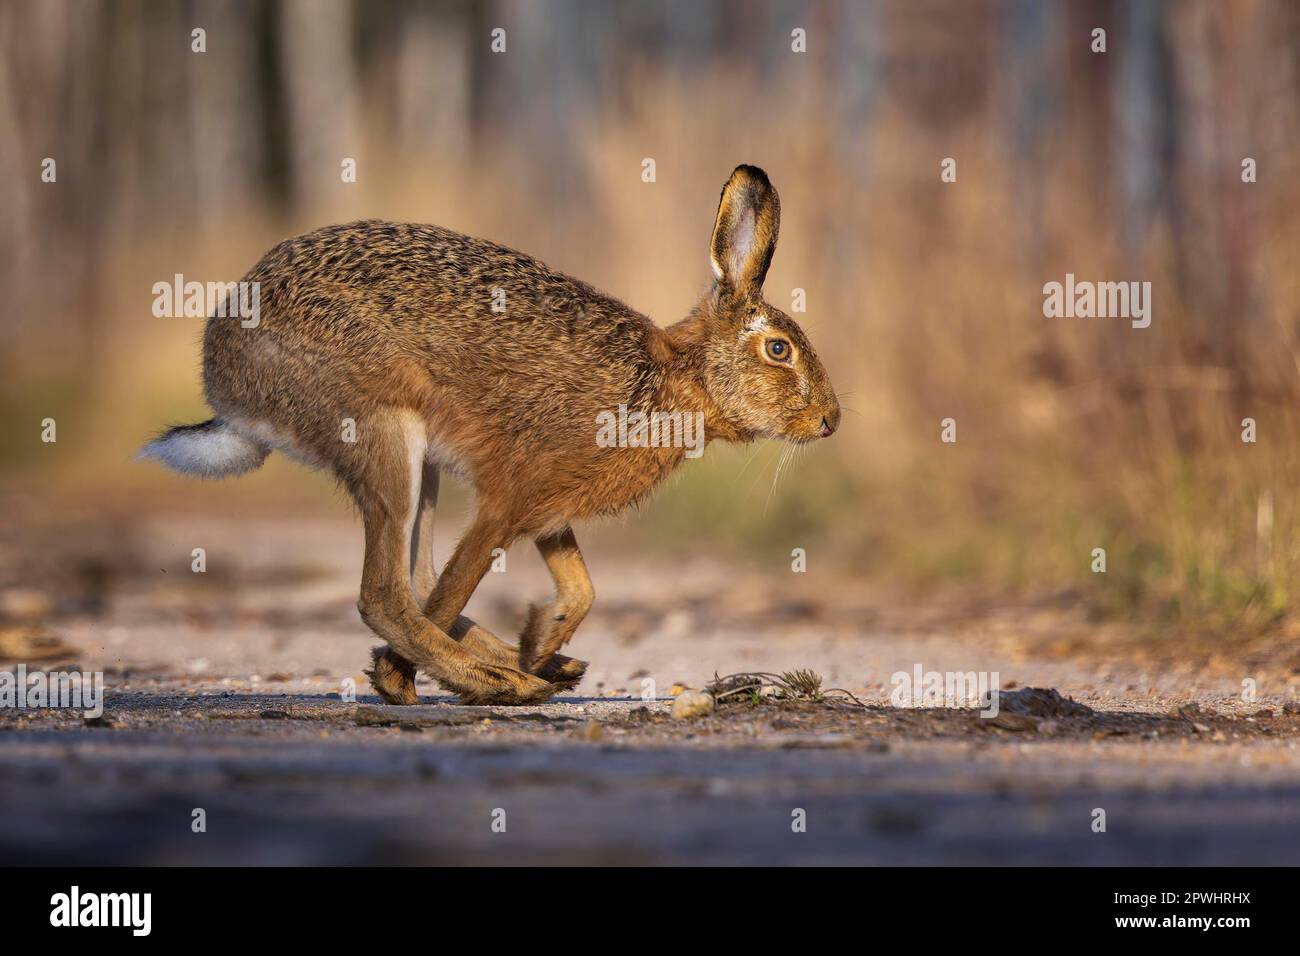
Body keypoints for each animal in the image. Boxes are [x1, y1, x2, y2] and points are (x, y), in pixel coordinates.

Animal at [140, 164, 840, 705]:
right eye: (778, 350)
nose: (830, 420)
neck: (676, 380)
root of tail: (227, 380)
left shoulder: (548, 509)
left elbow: (582, 589)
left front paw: (539, 639)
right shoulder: (509, 499)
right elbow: (466, 577)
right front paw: (399, 679)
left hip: (417, 465)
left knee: (417, 575)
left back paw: (536, 665)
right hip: (384, 430)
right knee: (387, 594)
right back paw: (494, 681)